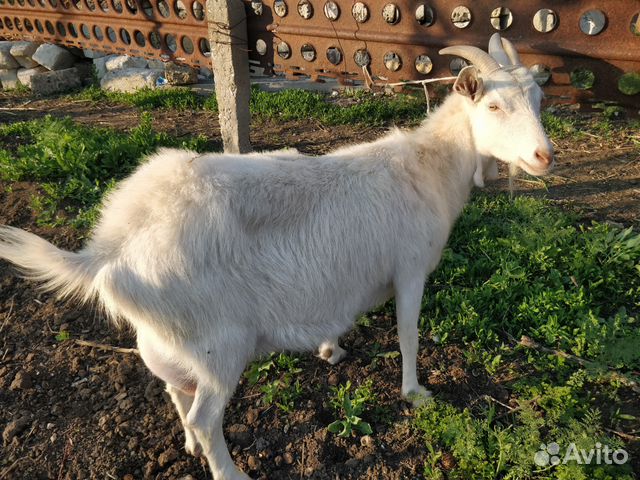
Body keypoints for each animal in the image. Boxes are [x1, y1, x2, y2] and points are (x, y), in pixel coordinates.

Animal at [0, 34, 553, 479]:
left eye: (538, 99)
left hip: (167, 341)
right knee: (205, 416)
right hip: (218, 344)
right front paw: (415, 393)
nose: (545, 157)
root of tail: (112, 247)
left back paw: (188, 447)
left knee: (176, 392)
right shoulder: (411, 268)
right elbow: (409, 334)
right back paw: (230, 471)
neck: (427, 168)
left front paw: (331, 349)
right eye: (493, 108)